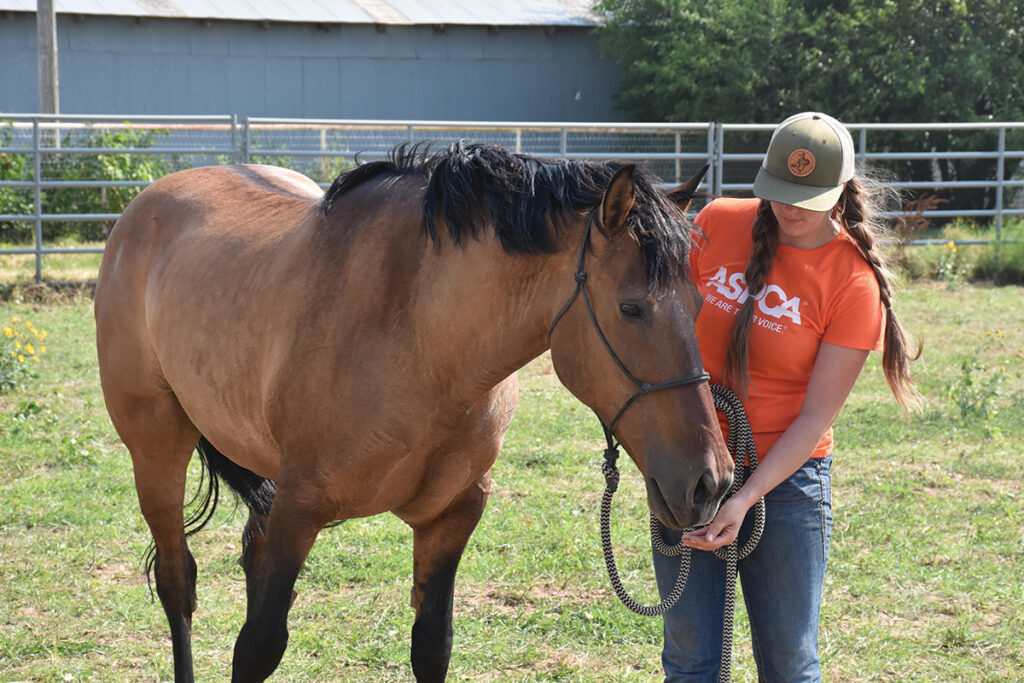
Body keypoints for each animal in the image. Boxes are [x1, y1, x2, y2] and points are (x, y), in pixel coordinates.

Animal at [93, 141, 732, 682]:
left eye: (699, 302)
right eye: (631, 308)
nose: (712, 482)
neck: (419, 336)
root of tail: (145, 208)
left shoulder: (452, 515)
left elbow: (432, 645)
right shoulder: (299, 510)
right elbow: (257, 647)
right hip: (158, 444)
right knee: (178, 580)